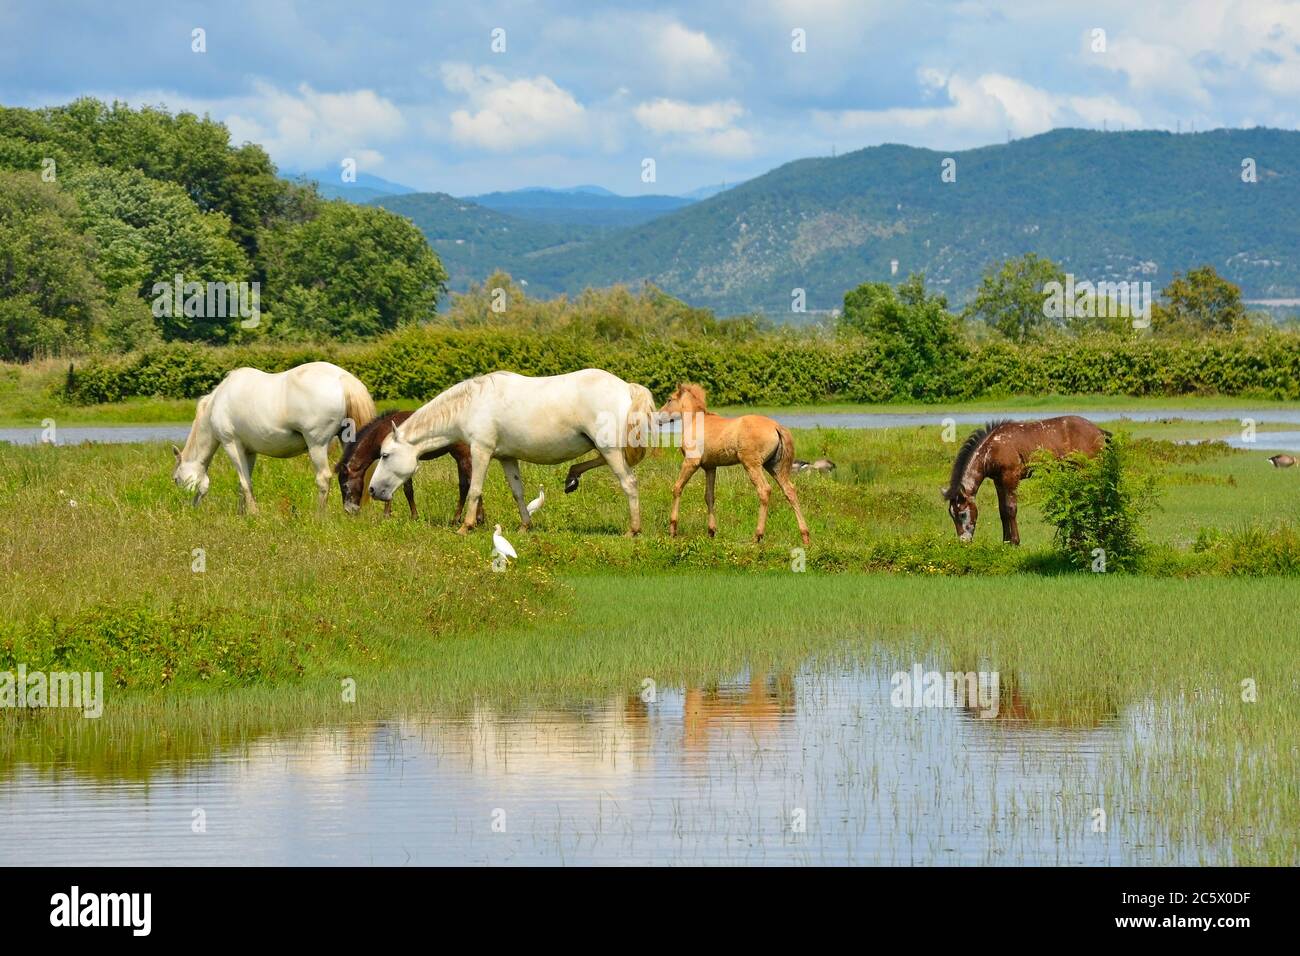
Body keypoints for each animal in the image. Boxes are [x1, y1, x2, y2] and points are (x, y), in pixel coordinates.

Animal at [172, 362, 376, 513]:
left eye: (175, 479)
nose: (192, 508)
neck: (218, 401)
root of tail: (342, 378)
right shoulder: (249, 451)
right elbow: (244, 483)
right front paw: (241, 514)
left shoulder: (231, 445)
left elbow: (244, 482)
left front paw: (253, 514)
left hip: (316, 445)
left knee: (323, 478)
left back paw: (319, 516)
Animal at [336, 410, 484, 524]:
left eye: (344, 486)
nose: (349, 511)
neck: (381, 432)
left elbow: (407, 490)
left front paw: (408, 517)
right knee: (464, 486)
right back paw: (457, 519)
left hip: (463, 457)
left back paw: (478, 519)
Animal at [367, 369, 657, 535]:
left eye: (385, 455)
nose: (372, 490)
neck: (472, 403)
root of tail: (627, 388)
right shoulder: (507, 458)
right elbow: (518, 492)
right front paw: (525, 527)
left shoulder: (480, 451)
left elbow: (474, 490)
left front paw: (465, 526)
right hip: (605, 448)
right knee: (595, 462)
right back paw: (572, 476)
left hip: (610, 449)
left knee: (629, 483)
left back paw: (633, 530)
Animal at [658, 383, 810, 545]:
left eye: (669, 399)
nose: (658, 417)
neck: (694, 421)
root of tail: (777, 427)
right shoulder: (710, 467)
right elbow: (709, 496)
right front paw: (711, 531)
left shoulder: (691, 462)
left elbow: (677, 488)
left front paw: (673, 529)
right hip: (774, 466)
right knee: (790, 491)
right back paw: (805, 536)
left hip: (751, 463)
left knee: (764, 490)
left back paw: (758, 535)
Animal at [940, 415, 1109, 544]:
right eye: (952, 515)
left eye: (962, 514)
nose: (963, 541)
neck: (992, 449)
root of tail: (1099, 431)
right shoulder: (998, 481)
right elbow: (1002, 510)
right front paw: (1005, 541)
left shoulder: (1011, 477)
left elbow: (1010, 509)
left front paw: (1015, 541)